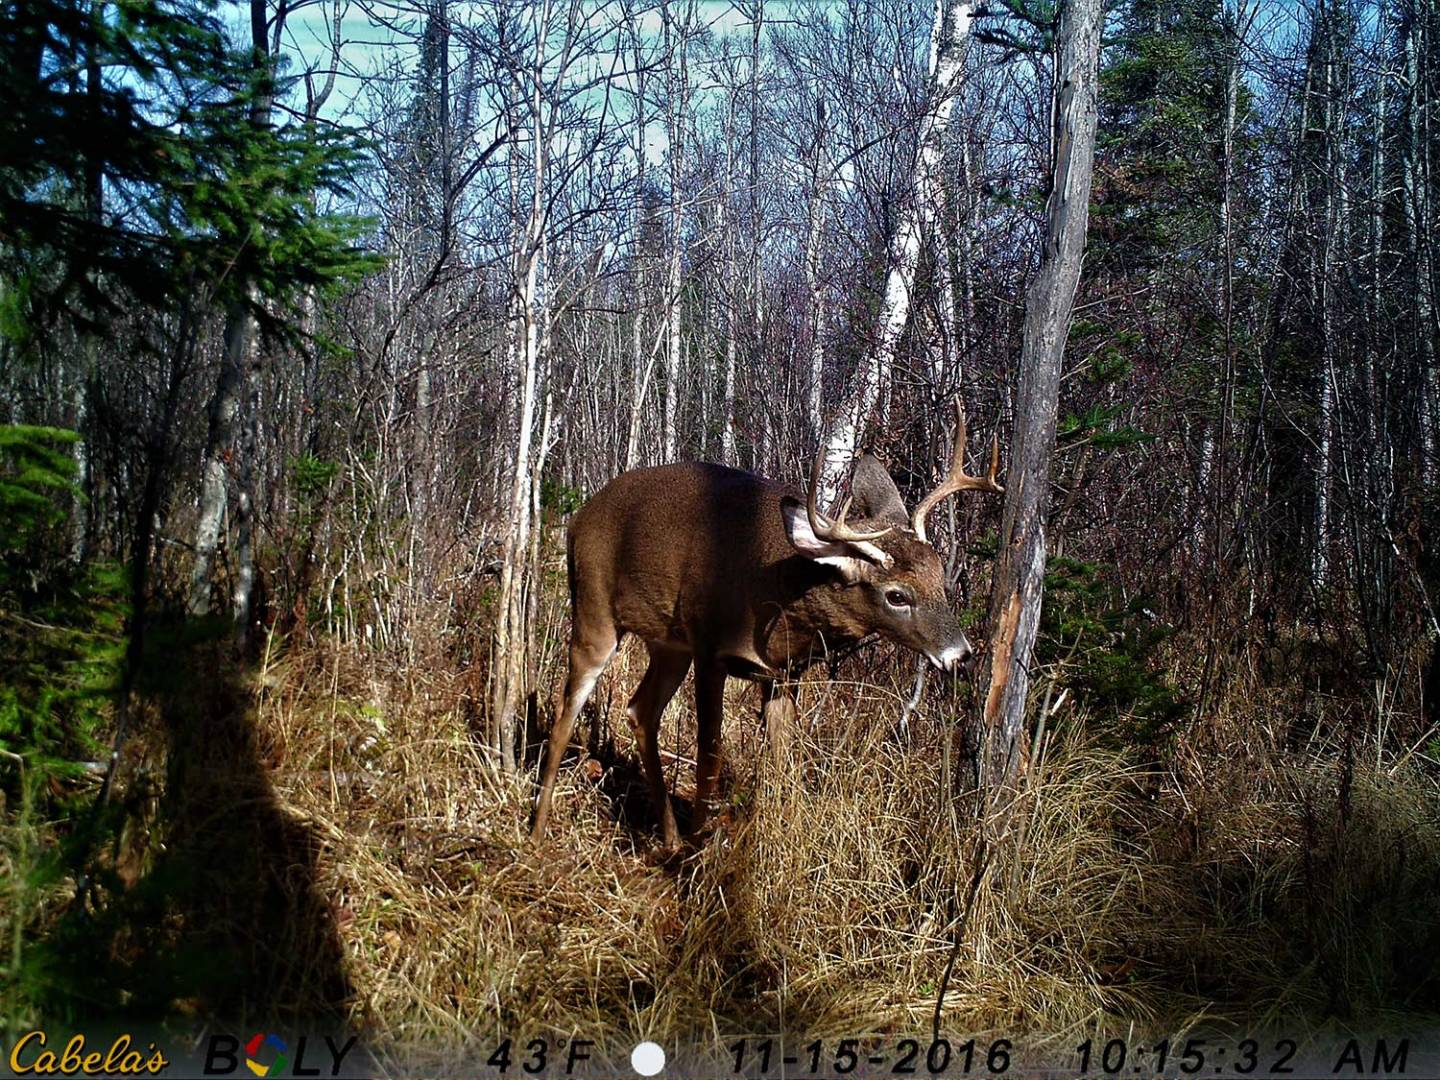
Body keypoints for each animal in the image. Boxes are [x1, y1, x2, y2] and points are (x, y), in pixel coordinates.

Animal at [529, 401, 1003, 850]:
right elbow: (710, 753)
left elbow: (783, 759)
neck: (774, 595)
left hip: (669, 644)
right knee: (566, 709)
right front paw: (701, 847)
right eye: (897, 595)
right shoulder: (710, 648)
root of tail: (578, 517)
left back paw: (668, 838)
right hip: (595, 608)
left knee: (640, 710)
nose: (961, 655)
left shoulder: (783, 673)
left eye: (940, 576)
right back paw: (538, 827)